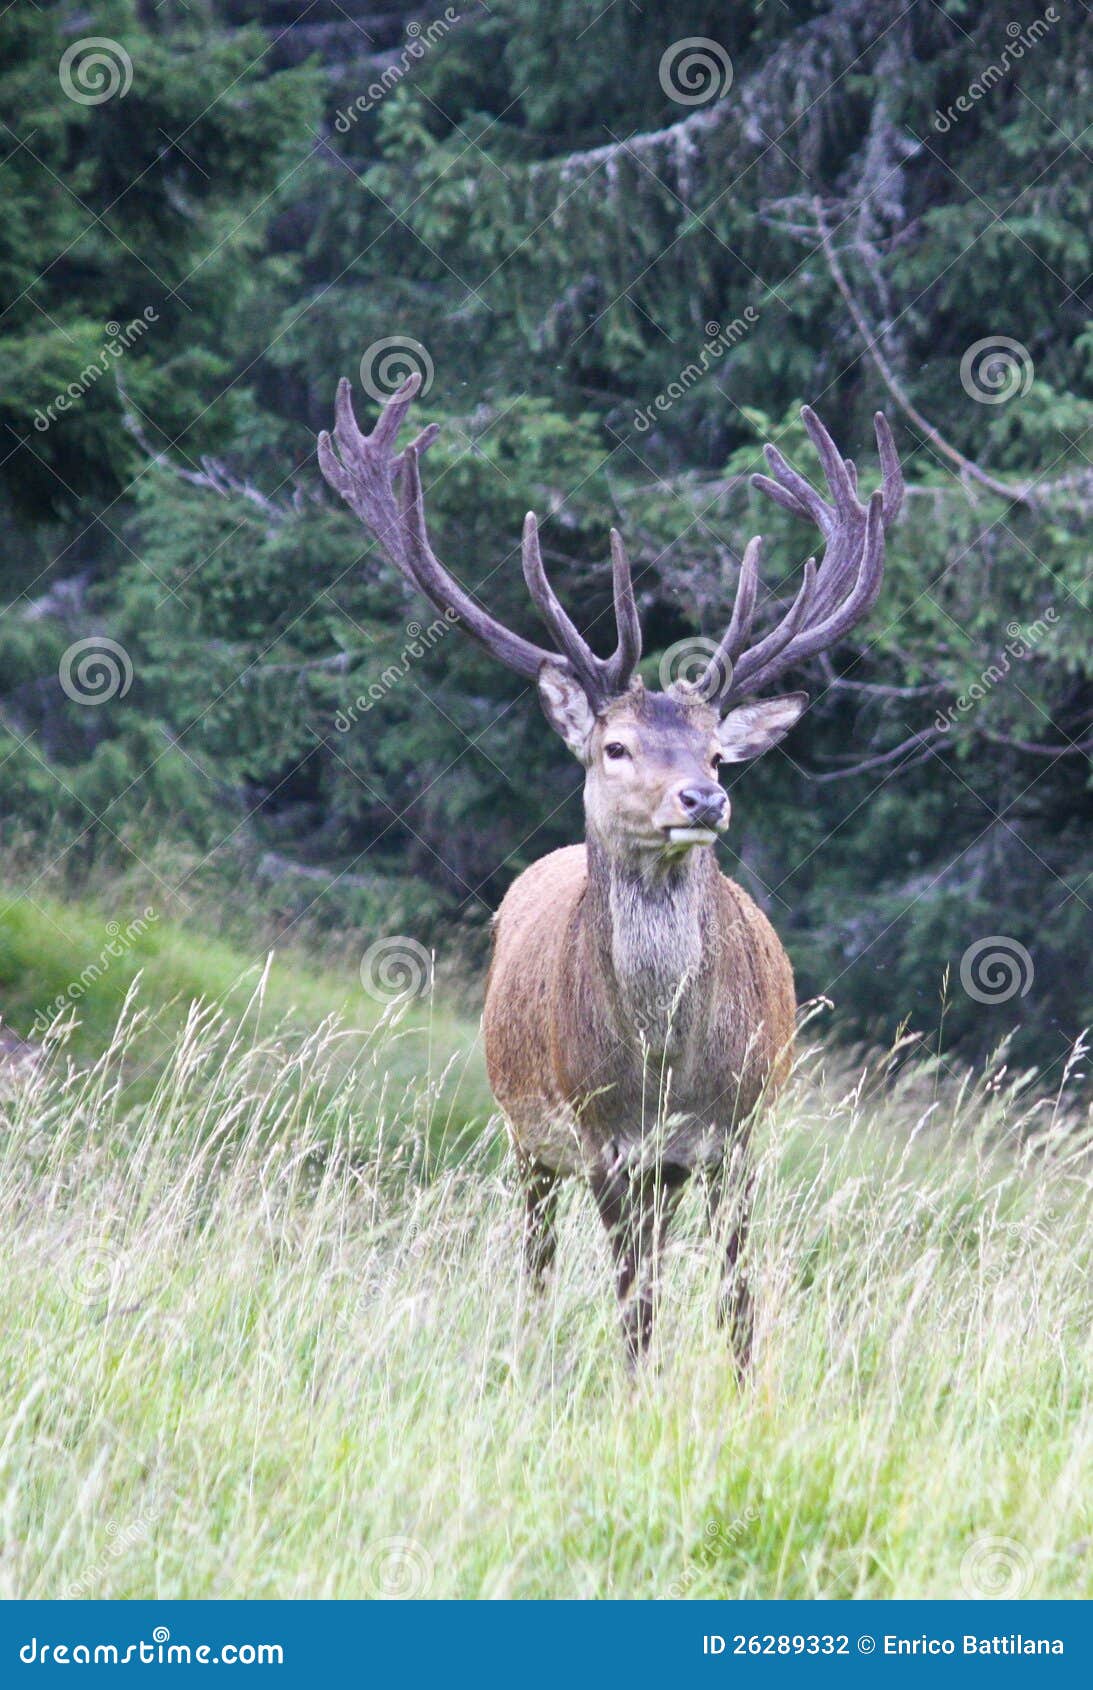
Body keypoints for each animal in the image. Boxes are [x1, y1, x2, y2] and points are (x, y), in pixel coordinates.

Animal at [318, 373, 902, 1366]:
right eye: (615, 746)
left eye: (716, 751)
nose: (702, 800)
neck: (663, 1066)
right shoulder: (601, 1142)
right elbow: (633, 1311)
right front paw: (638, 1393)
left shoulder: (738, 1136)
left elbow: (738, 1305)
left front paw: (743, 1392)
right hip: (525, 1134)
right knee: (541, 1264)